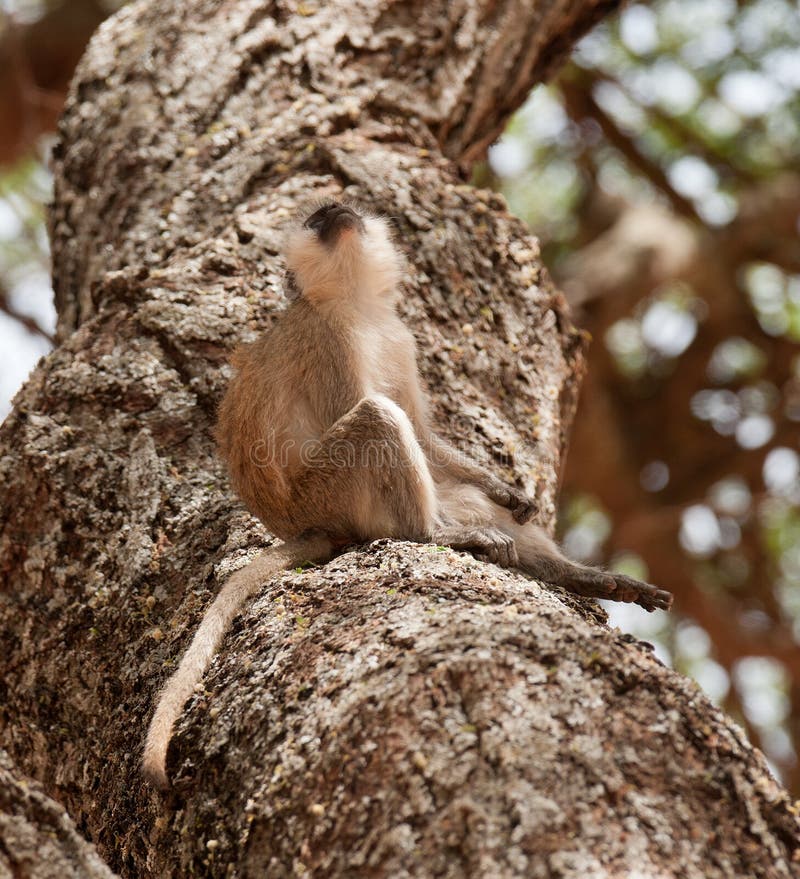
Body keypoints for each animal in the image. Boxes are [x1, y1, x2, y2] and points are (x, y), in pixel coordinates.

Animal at [142, 201, 672, 788]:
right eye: (319, 219)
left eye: (340, 210)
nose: (337, 211)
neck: (358, 305)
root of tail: (304, 524)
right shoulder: (328, 341)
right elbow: (375, 413)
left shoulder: (400, 337)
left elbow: (425, 433)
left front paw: (506, 488)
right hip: (328, 492)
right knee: (379, 420)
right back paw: (441, 534)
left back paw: (579, 576)